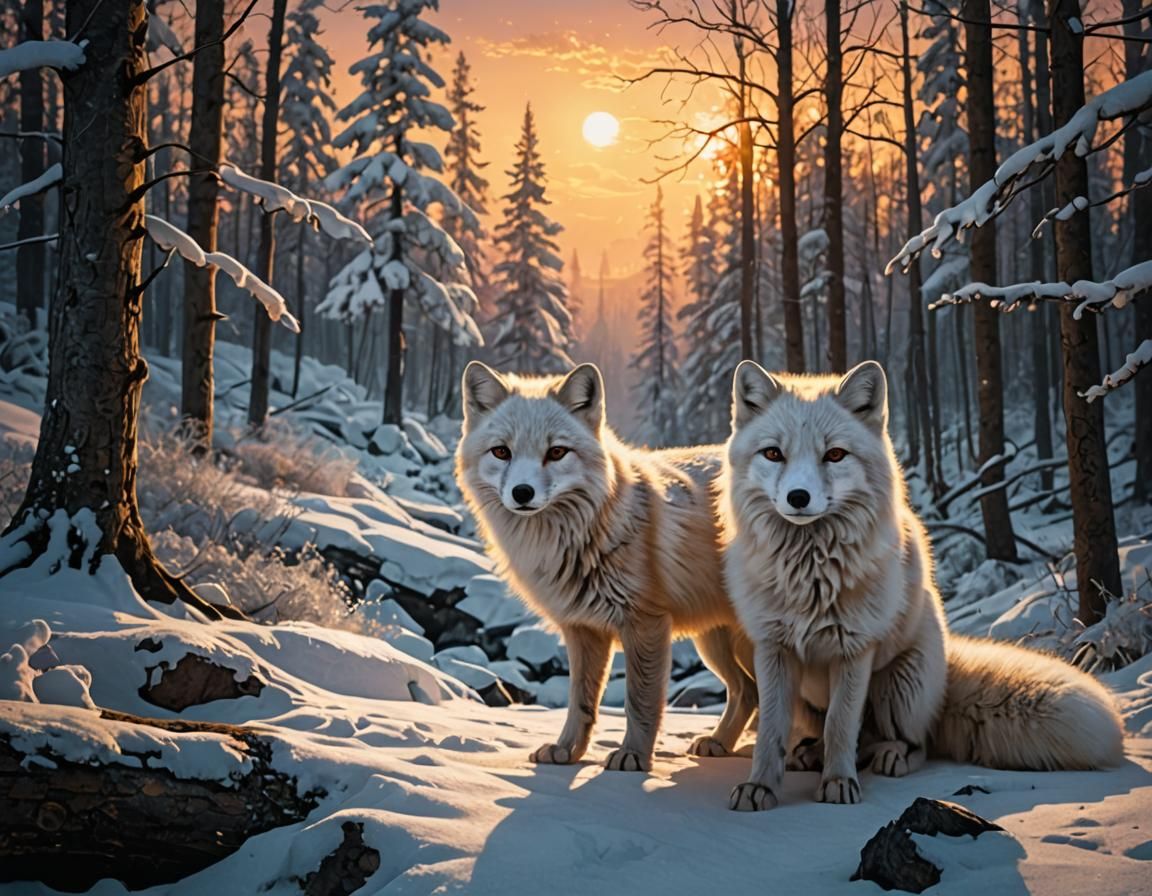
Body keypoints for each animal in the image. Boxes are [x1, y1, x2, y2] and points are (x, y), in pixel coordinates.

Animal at [456, 360, 757, 772]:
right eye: (501, 451)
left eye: (556, 452)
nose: (522, 493)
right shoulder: (582, 628)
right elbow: (580, 703)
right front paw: (566, 752)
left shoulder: (645, 624)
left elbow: (639, 702)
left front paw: (633, 756)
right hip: (713, 643)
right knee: (747, 691)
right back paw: (721, 743)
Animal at [721, 359, 1125, 812]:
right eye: (774, 453)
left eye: (834, 454)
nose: (798, 497)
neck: (810, 576)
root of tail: (945, 673)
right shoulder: (772, 648)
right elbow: (771, 732)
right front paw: (760, 787)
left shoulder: (856, 650)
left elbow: (842, 725)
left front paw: (839, 784)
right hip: (811, 702)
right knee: (837, 736)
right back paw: (808, 754)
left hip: (897, 689)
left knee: (910, 743)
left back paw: (889, 757)